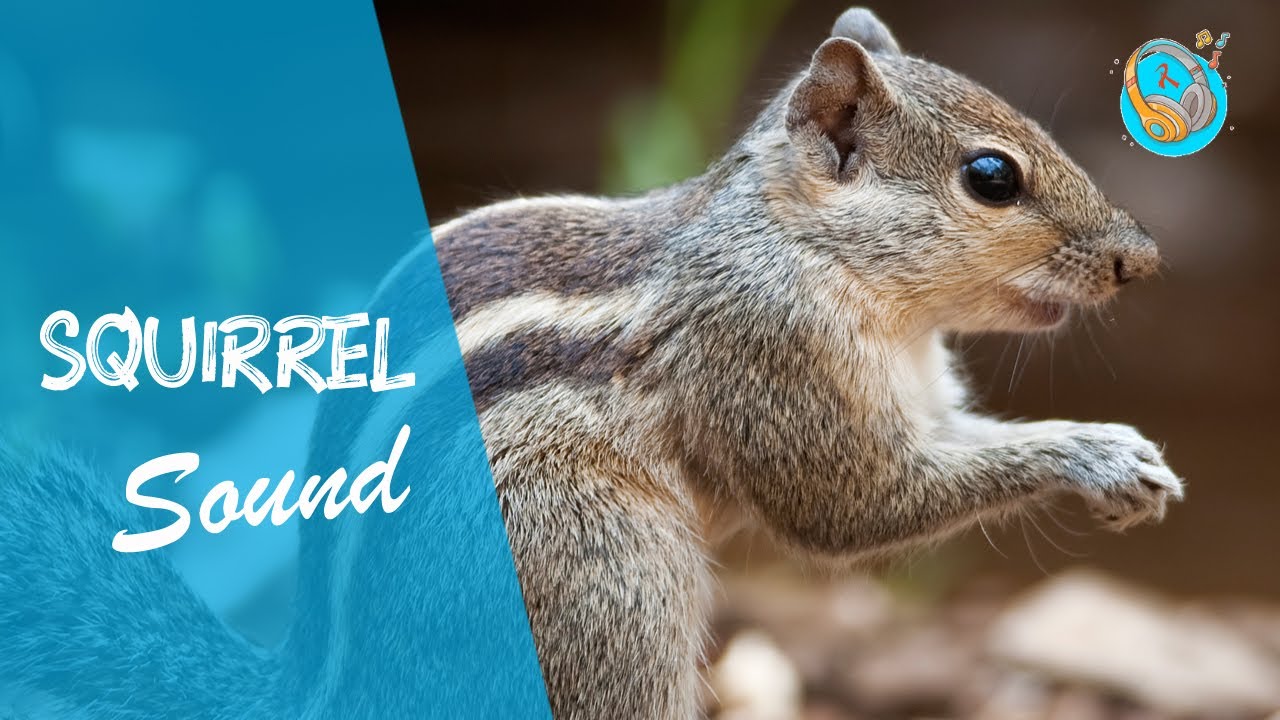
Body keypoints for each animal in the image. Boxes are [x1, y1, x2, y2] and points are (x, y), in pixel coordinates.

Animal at [0, 8, 1182, 720]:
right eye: (990, 177)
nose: (1141, 257)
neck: (811, 252)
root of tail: (336, 690)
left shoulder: (918, 397)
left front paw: (1120, 448)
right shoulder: (766, 359)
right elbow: (851, 505)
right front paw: (1092, 456)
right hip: (607, 578)